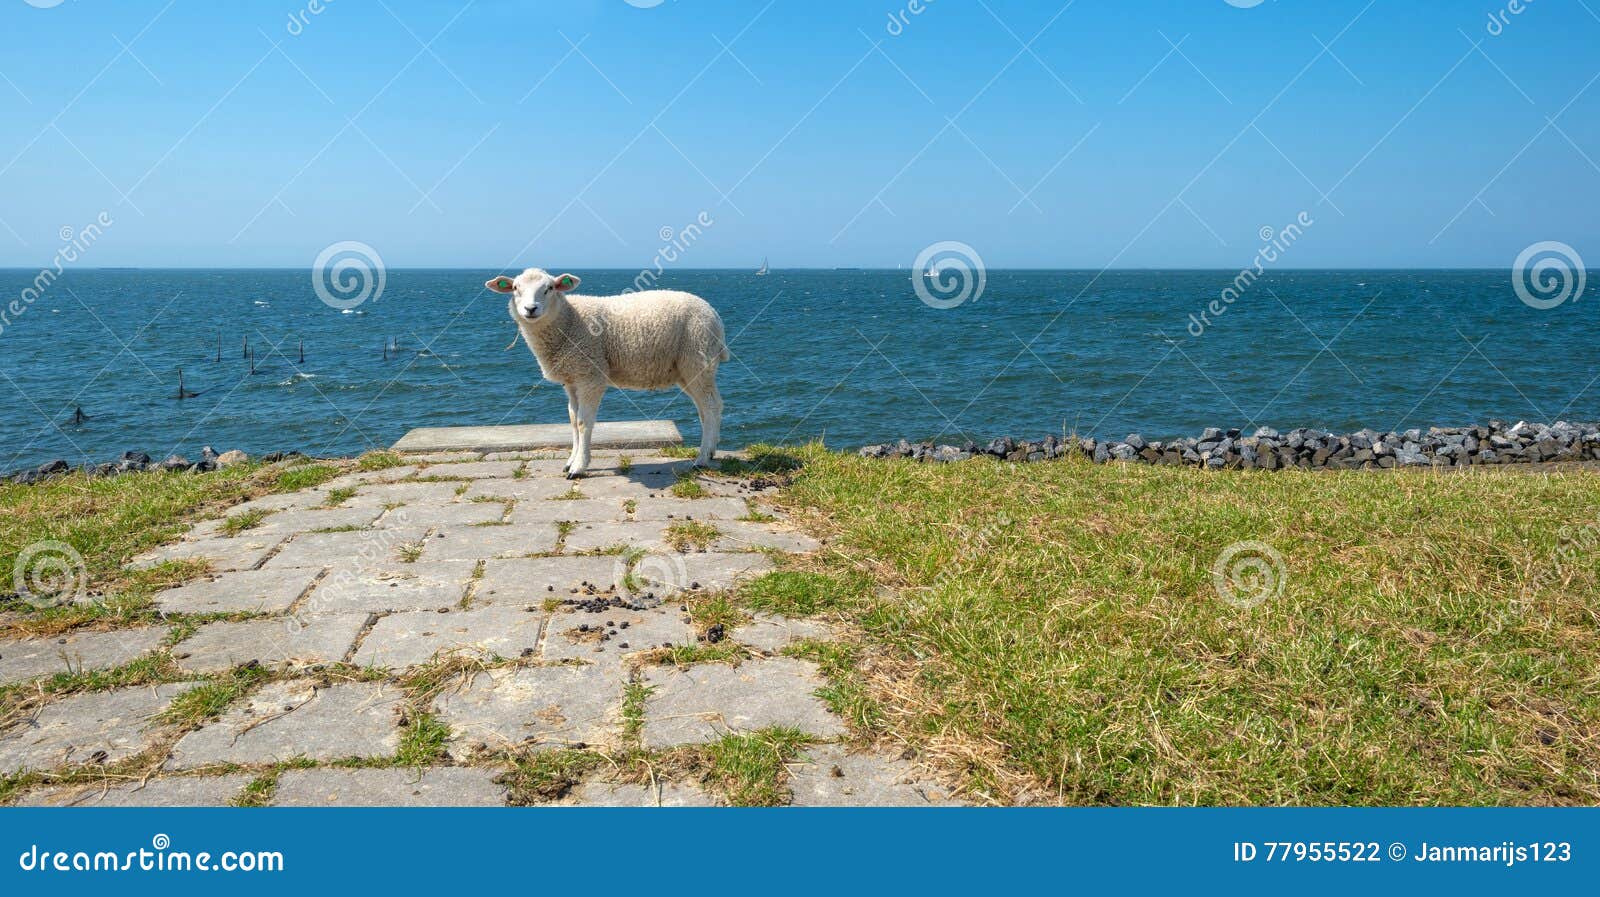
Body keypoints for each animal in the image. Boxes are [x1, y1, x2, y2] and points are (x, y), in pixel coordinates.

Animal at [488, 268, 729, 478]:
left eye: (549, 288)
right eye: (515, 288)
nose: (530, 309)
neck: (569, 320)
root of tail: (715, 315)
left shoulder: (590, 376)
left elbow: (584, 422)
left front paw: (579, 467)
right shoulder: (572, 380)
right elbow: (573, 420)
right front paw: (570, 461)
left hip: (698, 360)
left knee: (711, 406)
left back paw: (702, 459)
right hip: (688, 371)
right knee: (706, 409)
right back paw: (711, 450)